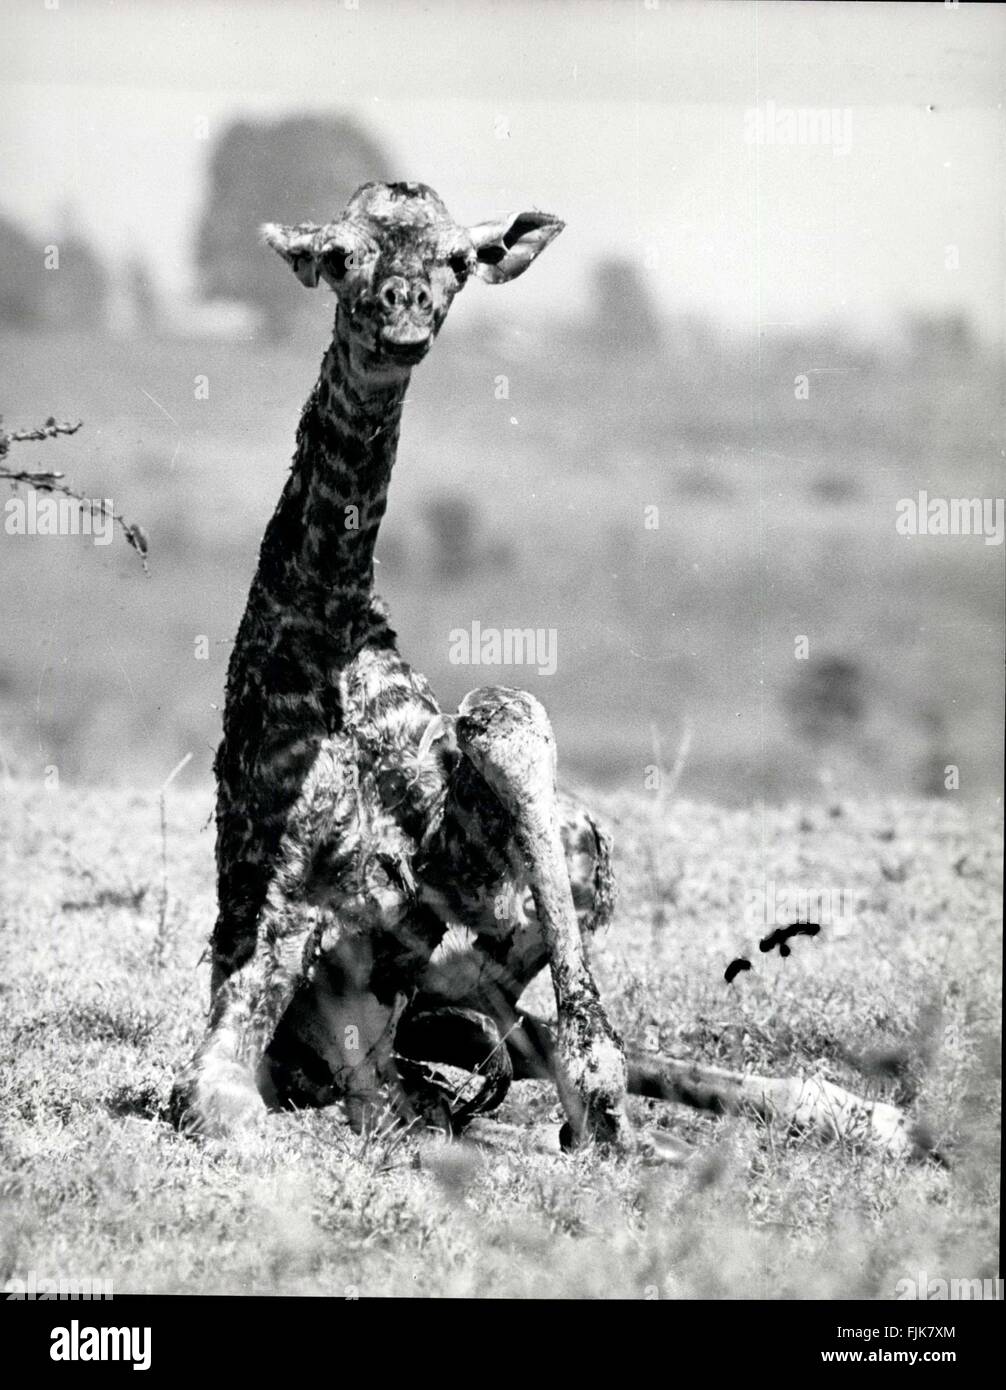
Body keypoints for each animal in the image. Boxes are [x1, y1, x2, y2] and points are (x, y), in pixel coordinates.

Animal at [171, 181, 932, 1164]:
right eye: (338, 257)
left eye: (459, 260)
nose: (404, 320)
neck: (325, 624)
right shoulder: (277, 927)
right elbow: (216, 1097)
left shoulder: (482, 884)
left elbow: (508, 713)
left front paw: (599, 1094)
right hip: (353, 1007)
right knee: (413, 1073)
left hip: (478, 952)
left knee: (519, 1035)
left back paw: (865, 1117)